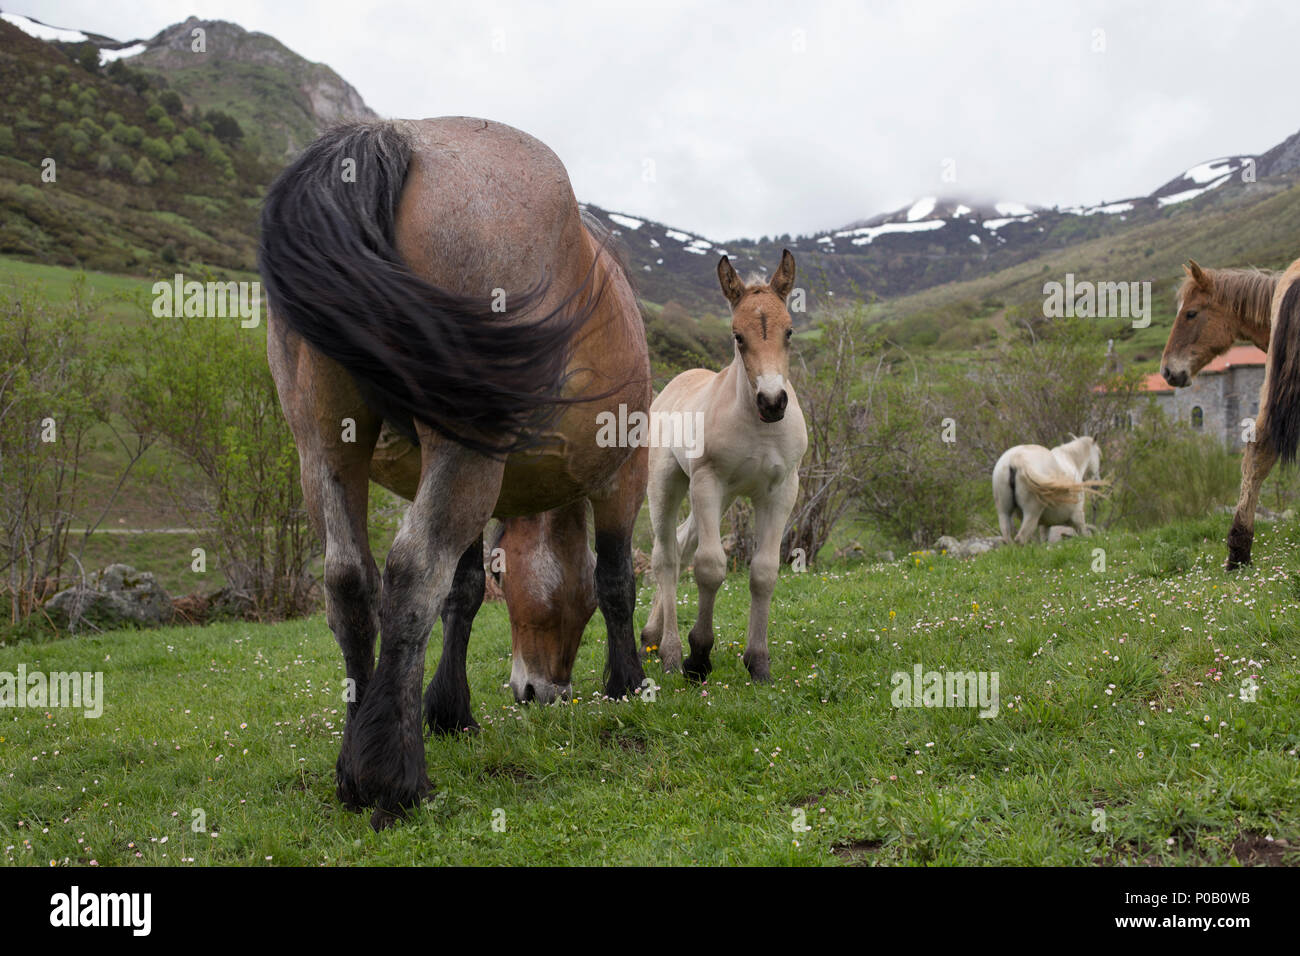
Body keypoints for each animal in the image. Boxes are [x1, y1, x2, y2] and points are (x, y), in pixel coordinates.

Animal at [259, 117, 651, 828]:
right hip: (466, 455)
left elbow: (463, 592)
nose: (538, 691)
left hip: (324, 446)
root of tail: (389, 139)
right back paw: (393, 778)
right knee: (412, 572)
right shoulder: (620, 480)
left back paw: (354, 766)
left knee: (348, 581)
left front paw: (449, 709)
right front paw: (627, 683)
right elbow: (615, 580)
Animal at [638, 251, 808, 683]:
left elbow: (764, 572)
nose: (772, 402)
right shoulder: (707, 482)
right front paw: (698, 656)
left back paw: (650, 634)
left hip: (727, 497)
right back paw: (668, 651)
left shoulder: (782, 490)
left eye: (789, 331)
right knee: (667, 557)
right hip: (669, 485)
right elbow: (710, 566)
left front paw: (758, 661)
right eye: (737, 336)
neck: (757, 426)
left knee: (682, 545)